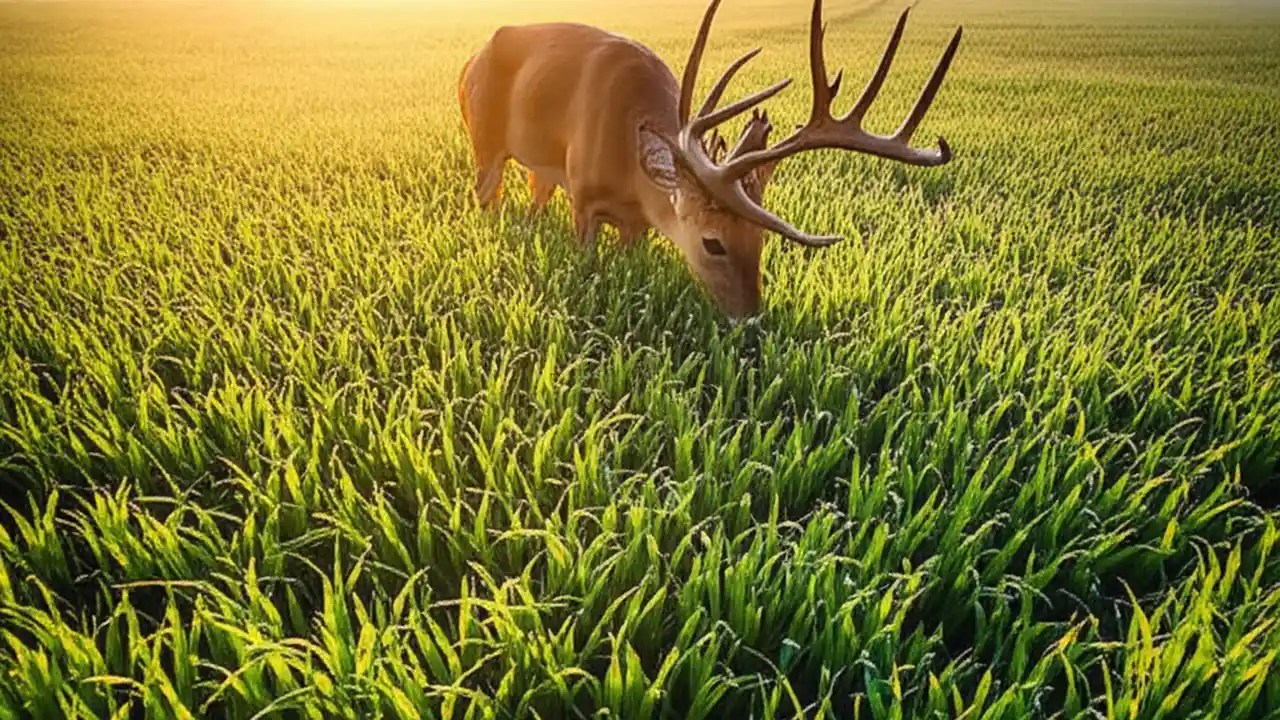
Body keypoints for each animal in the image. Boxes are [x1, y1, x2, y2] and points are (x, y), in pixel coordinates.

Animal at [457, 0, 961, 319]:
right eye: (713, 243)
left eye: (761, 239)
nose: (750, 320)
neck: (630, 162)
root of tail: (472, 56)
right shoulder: (582, 196)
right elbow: (587, 257)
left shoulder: (637, 222)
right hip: (483, 139)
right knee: (486, 192)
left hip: (534, 162)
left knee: (535, 190)